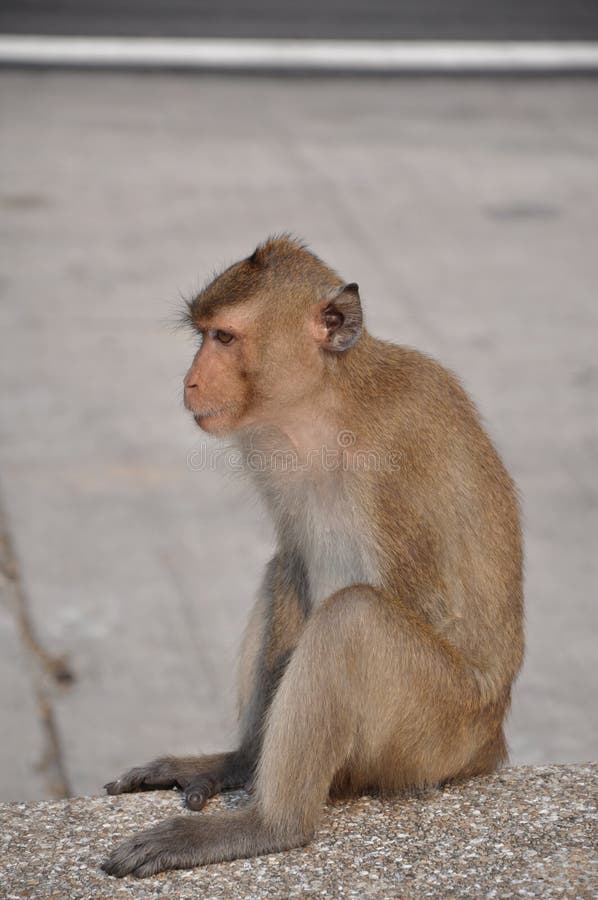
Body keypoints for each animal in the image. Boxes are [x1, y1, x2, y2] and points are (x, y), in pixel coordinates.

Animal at [102, 235, 524, 878]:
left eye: (223, 337)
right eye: (202, 335)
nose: (191, 382)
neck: (327, 407)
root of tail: (490, 740)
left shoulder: (399, 452)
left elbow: (422, 604)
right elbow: (294, 566)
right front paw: (241, 762)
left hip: (439, 735)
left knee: (353, 617)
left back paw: (271, 824)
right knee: (288, 576)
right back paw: (243, 763)